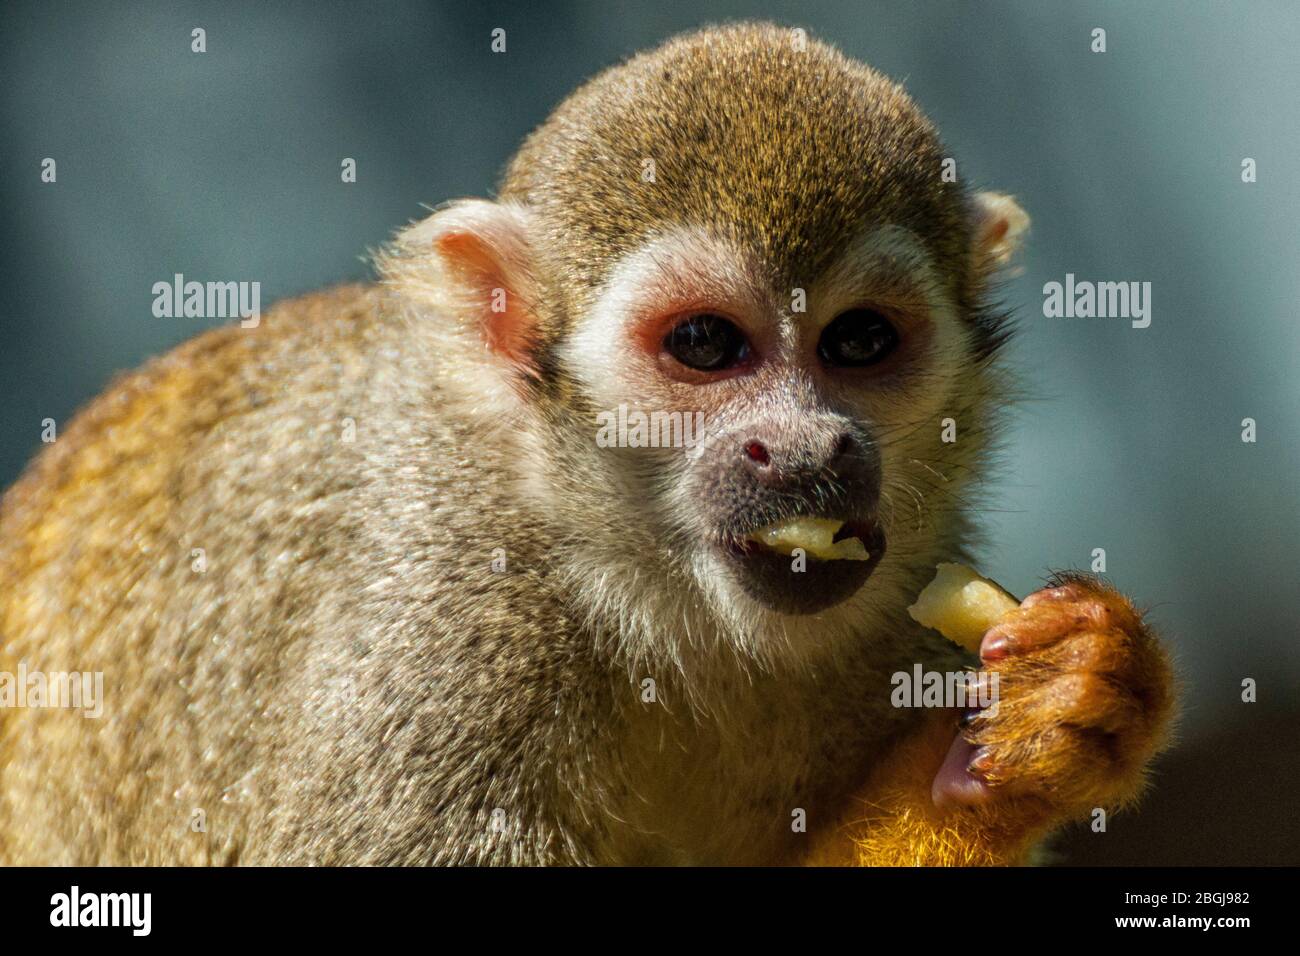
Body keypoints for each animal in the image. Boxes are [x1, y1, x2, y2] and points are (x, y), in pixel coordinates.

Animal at [0, 22, 1174, 866]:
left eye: (859, 342)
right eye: (703, 344)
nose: (806, 447)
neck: (635, 587)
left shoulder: (894, 629)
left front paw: (1039, 735)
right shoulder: (434, 636)